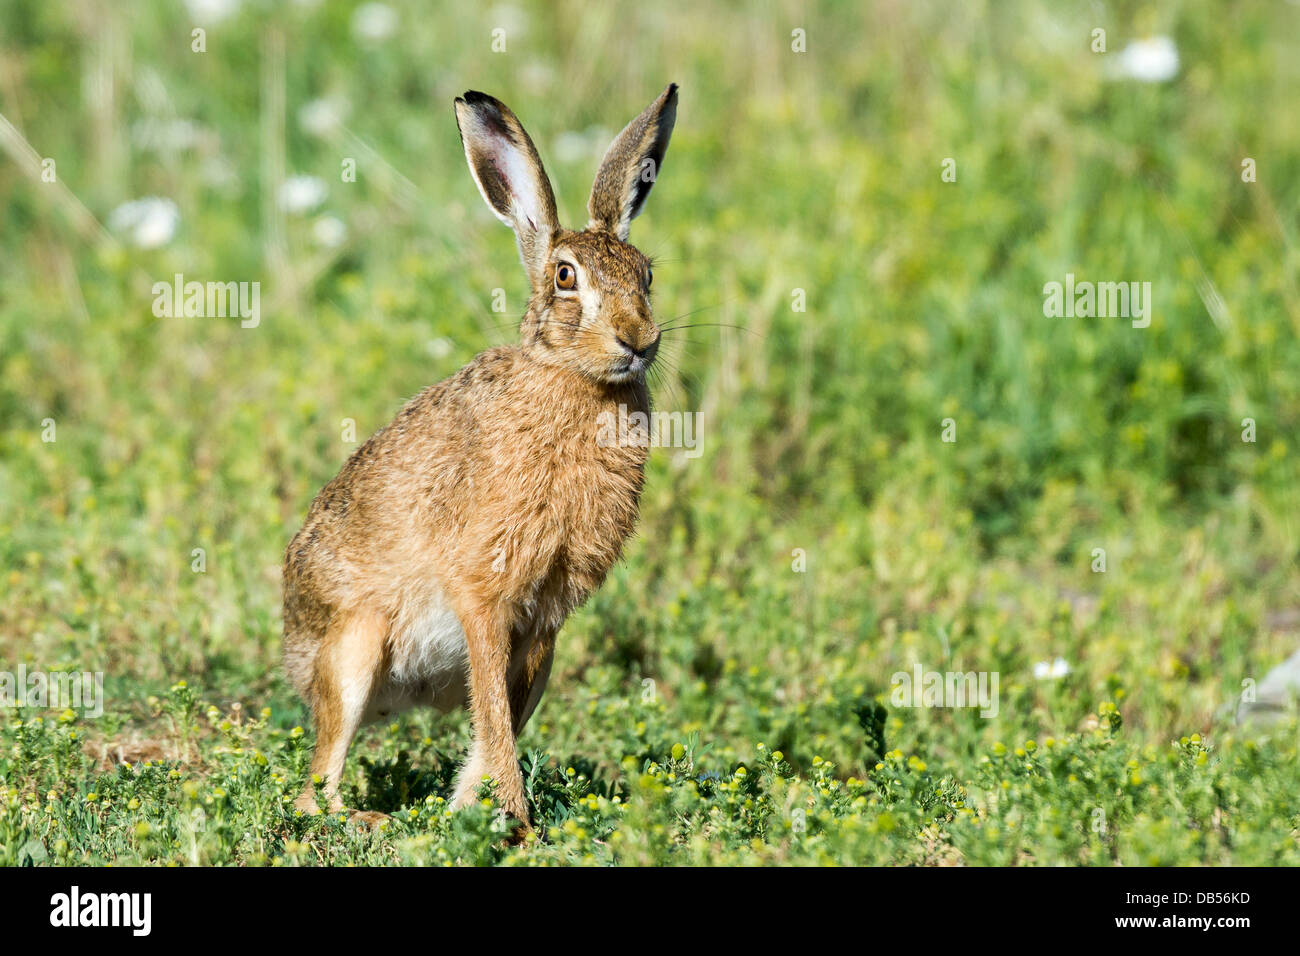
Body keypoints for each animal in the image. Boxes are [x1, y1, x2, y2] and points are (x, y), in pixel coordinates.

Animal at [282, 83, 678, 830]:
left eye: (646, 275)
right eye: (565, 278)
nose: (638, 340)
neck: (571, 378)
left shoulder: (541, 620)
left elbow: (496, 724)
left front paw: (484, 815)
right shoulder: (483, 594)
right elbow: (494, 715)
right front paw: (513, 820)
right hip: (353, 650)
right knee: (315, 788)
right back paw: (375, 823)